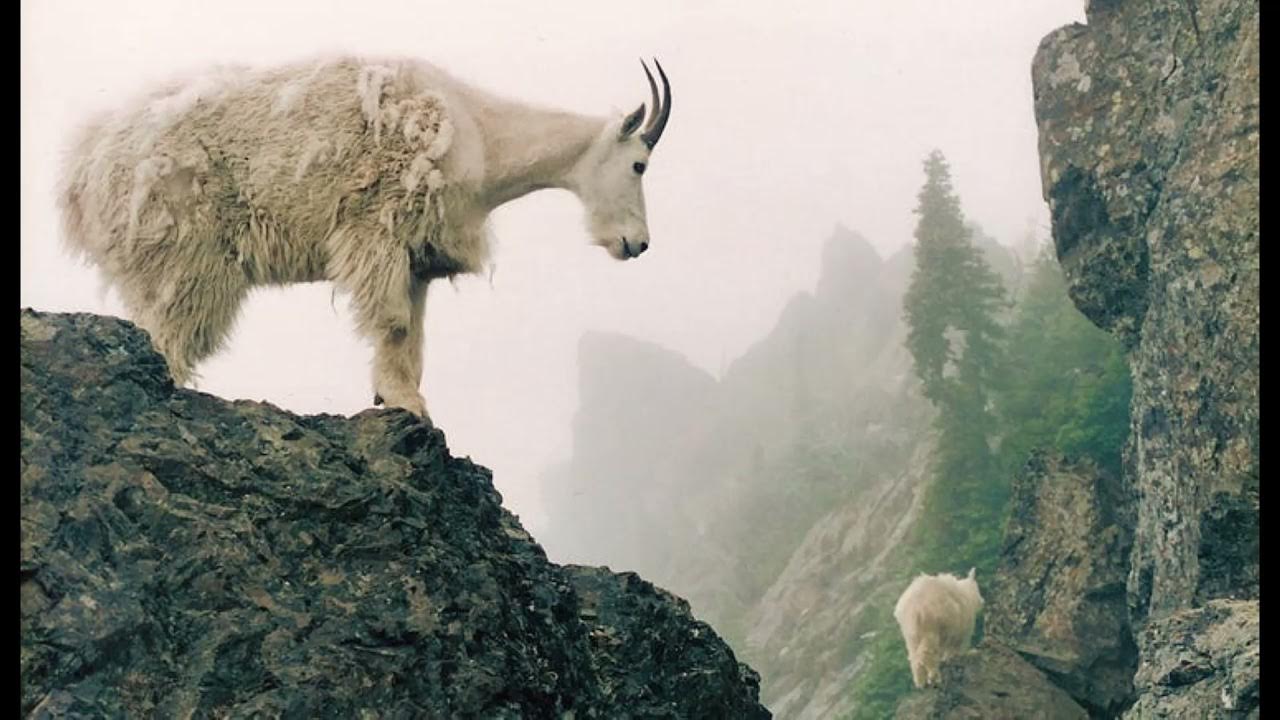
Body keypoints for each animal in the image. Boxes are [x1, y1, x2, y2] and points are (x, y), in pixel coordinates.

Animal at [57, 54, 672, 419]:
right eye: (639, 164)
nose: (637, 244)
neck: (482, 135)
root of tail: (82, 172)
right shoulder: (378, 229)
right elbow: (393, 322)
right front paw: (405, 405)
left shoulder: (418, 256)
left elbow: (413, 339)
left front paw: (399, 397)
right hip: (185, 249)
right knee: (170, 330)